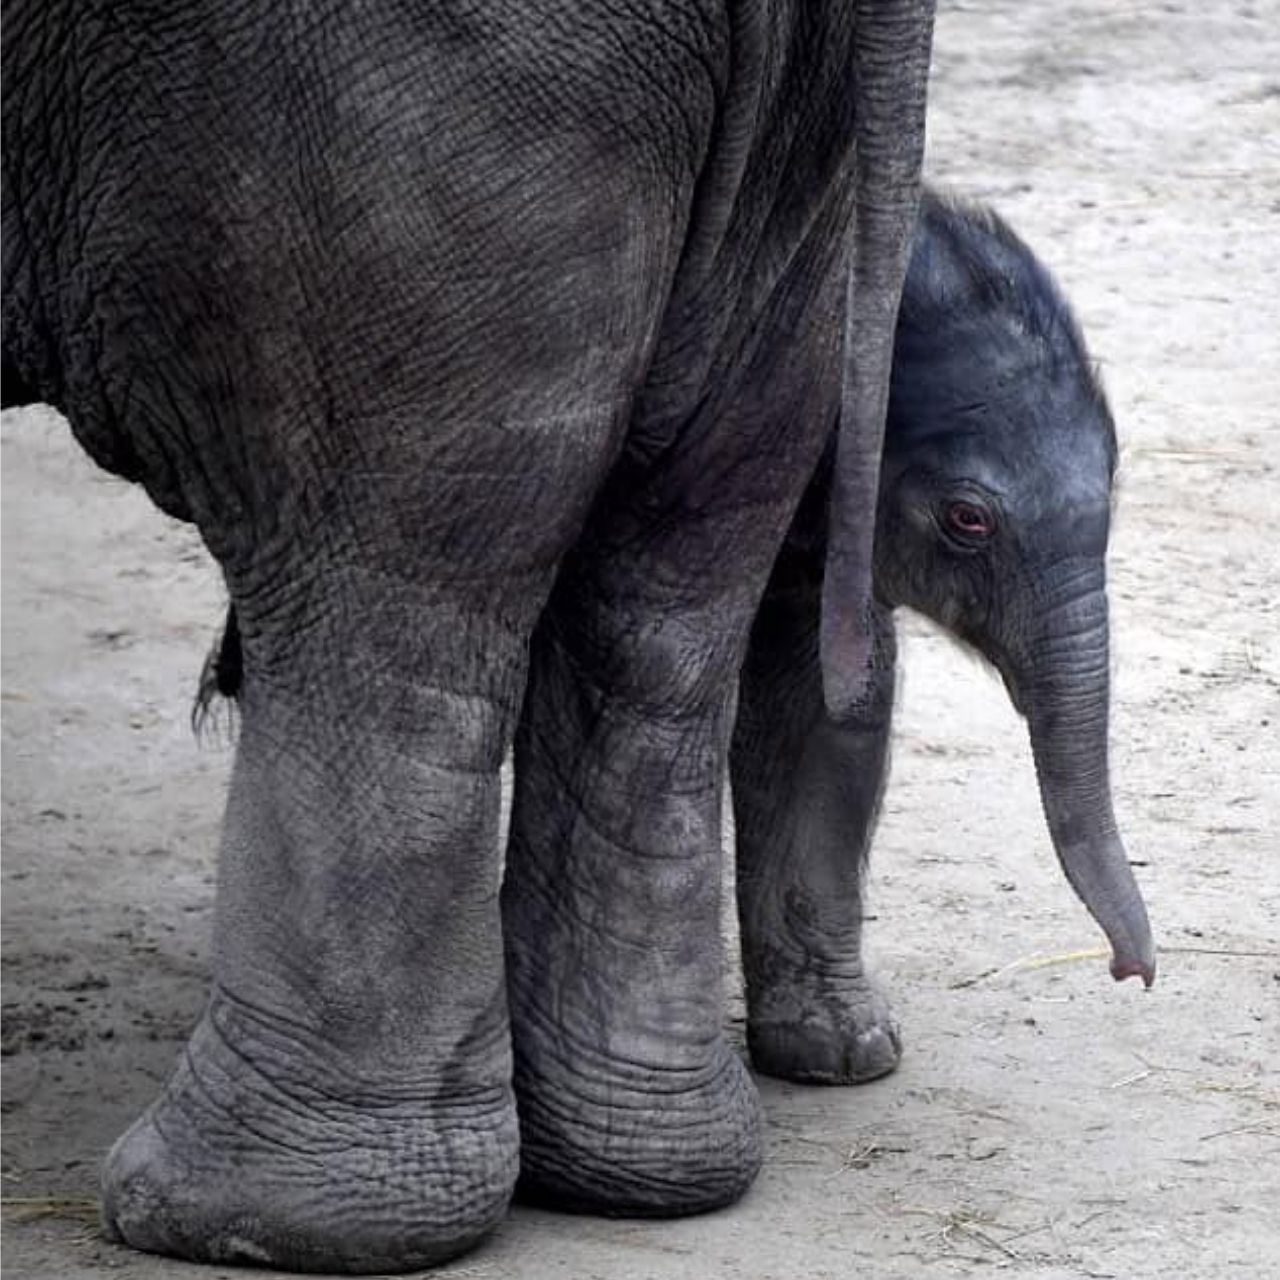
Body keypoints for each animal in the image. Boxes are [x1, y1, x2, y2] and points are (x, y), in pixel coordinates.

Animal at [1, 2, 939, 1274]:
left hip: (395, 103)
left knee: (387, 596)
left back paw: (232, 1220)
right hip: (803, 156)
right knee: (673, 589)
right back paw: (634, 1167)